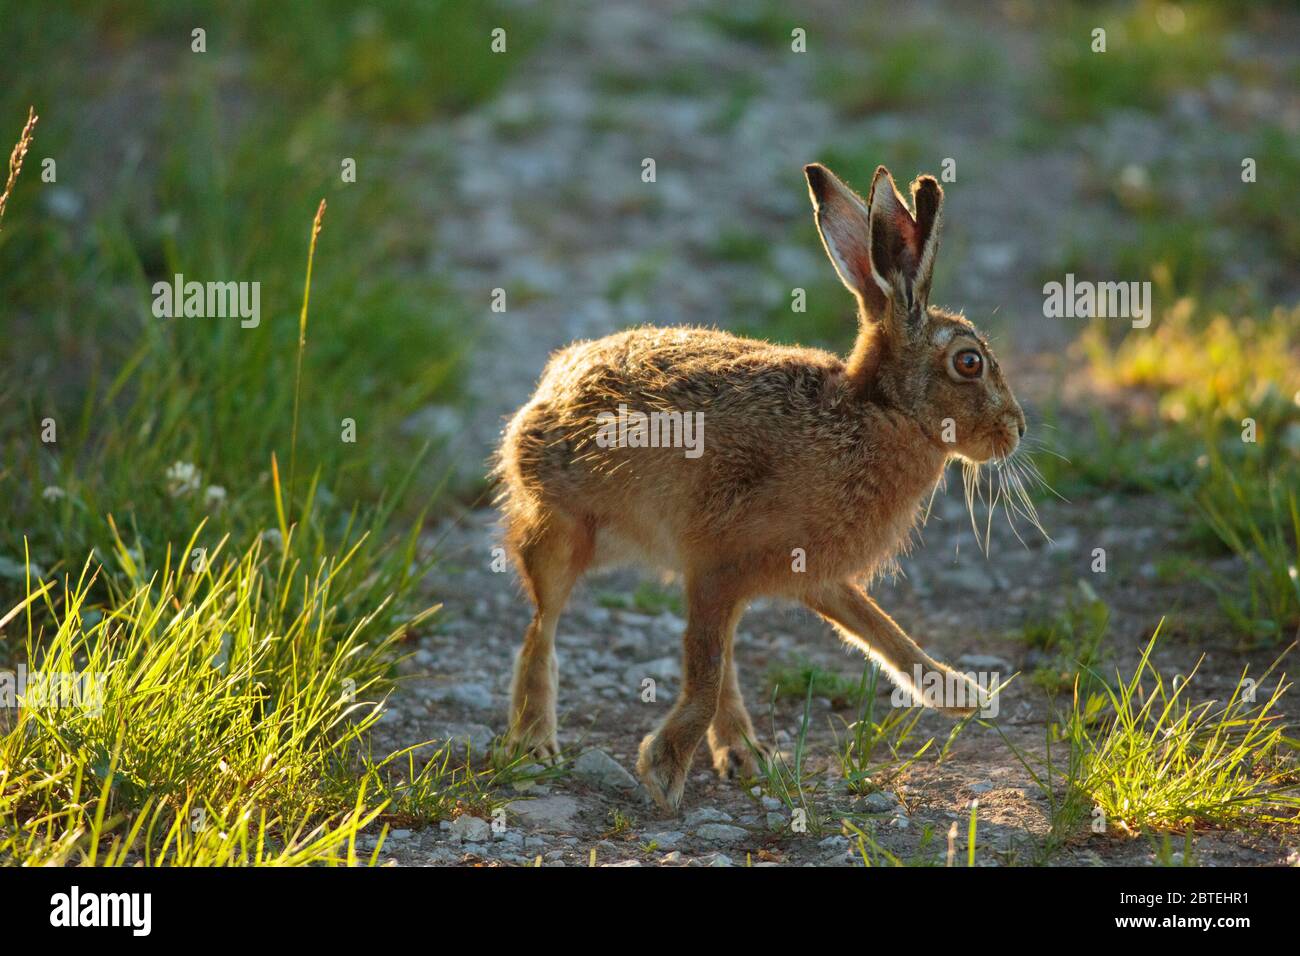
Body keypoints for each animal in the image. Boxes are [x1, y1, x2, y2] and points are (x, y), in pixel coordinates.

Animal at [494, 163, 1025, 812]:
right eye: (969, 363)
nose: (1016, 431)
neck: (878, 412)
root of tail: (552, 382)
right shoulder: (721, 565)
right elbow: (703, 676)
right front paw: (662, 772)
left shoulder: (808, 575)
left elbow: (885, 634)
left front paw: (961, 695)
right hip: (562, 527)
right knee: (542, 627)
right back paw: (535, 743)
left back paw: (745, 753)